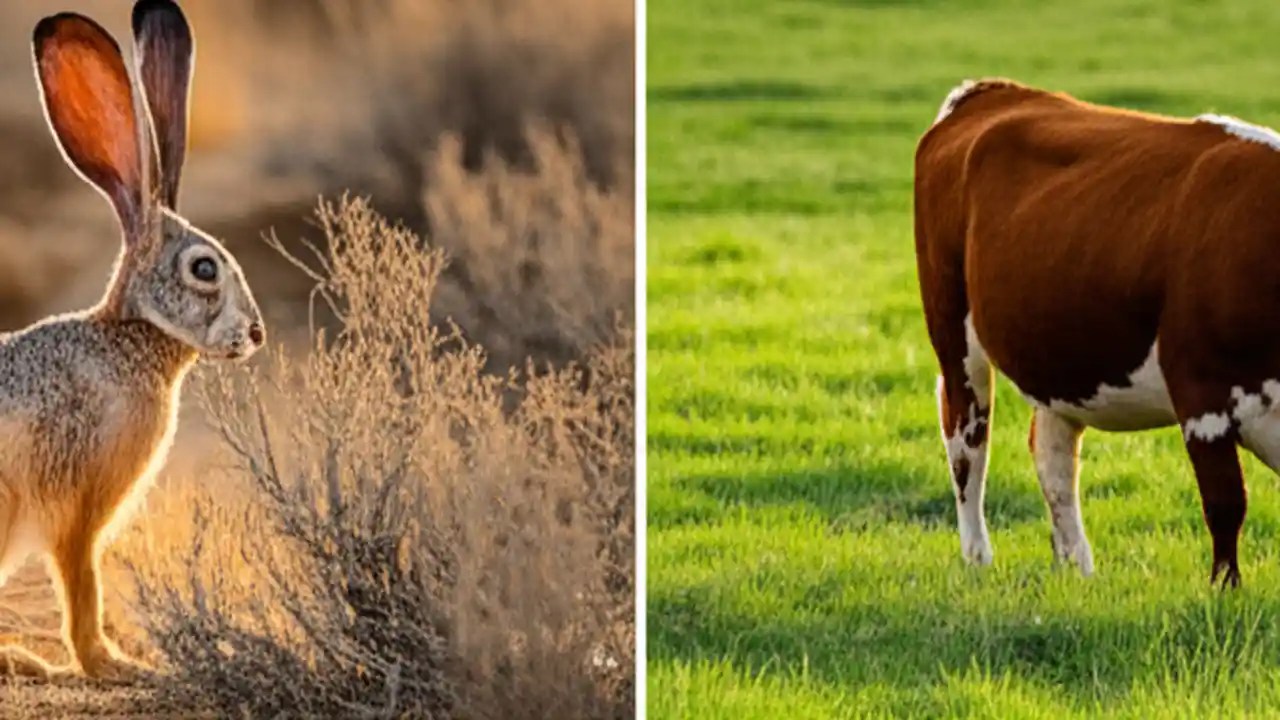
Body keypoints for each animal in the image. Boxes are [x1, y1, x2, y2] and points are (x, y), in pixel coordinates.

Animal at [913, 78, 1280, 587]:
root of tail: (992, 92)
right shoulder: (1200, 392)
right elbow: (1226, 504)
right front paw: (1225, 591)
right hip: (954, 337)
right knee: (966, 444)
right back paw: (978, 557)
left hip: (1053, 357)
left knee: (1053, 458)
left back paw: (1077, 567)